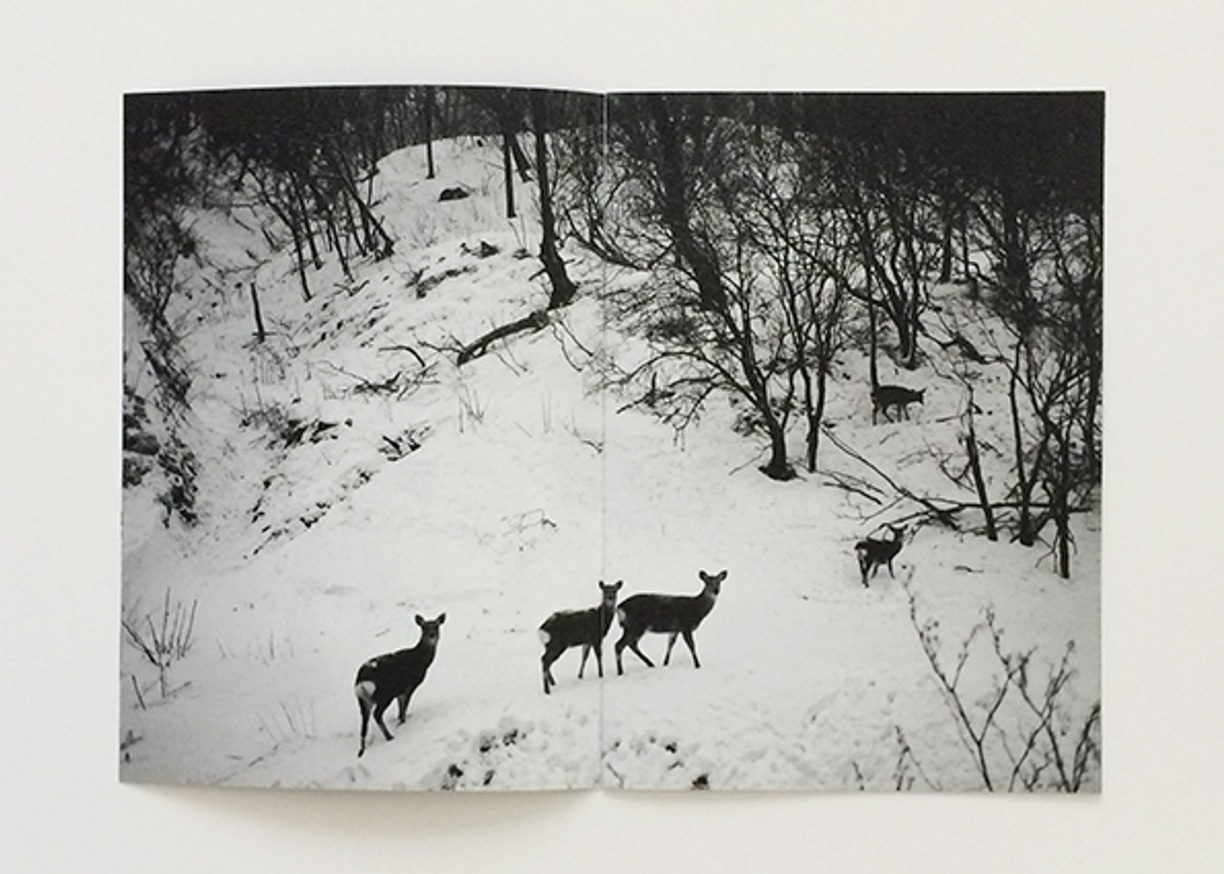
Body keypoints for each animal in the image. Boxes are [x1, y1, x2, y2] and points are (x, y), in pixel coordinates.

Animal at [354, 612, 446, 757]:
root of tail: (361, 682)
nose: (432, 635)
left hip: (363, 700)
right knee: (377, 715)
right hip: (384, 695)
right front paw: (403, 721)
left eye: (436, 626)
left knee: (364, 725)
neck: (420, 661)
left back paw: (362, 750)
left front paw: (399, 720)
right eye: (424, 627)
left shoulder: (400, 690)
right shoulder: (409, 686)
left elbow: (400, 707)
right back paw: (389, 737)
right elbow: (404, 707)